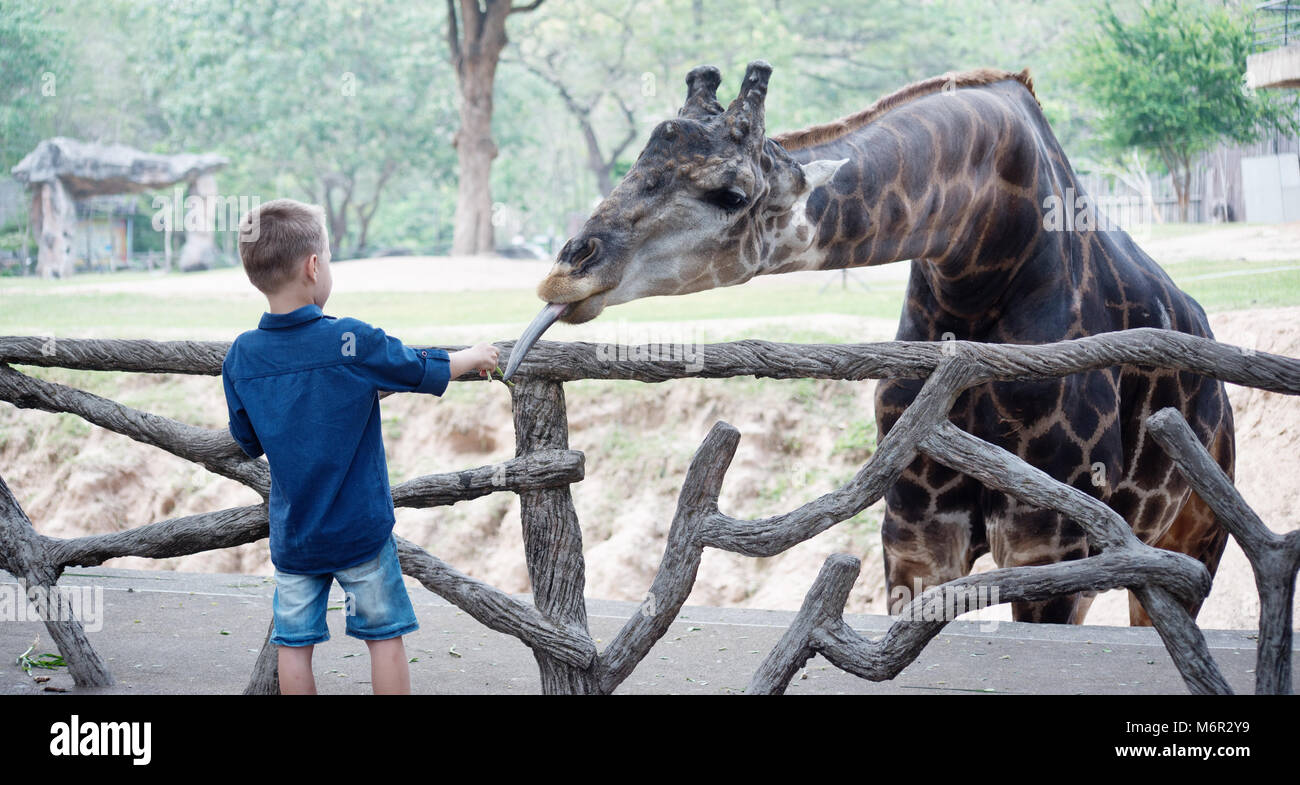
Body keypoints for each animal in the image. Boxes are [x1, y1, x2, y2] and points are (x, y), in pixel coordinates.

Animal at [504, 61, 1234, 626]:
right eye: (635, 164)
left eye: (731, 193)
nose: (566, 271)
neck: (983, 256)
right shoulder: (914, 525)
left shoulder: (1053, 539)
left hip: (1190, 545)